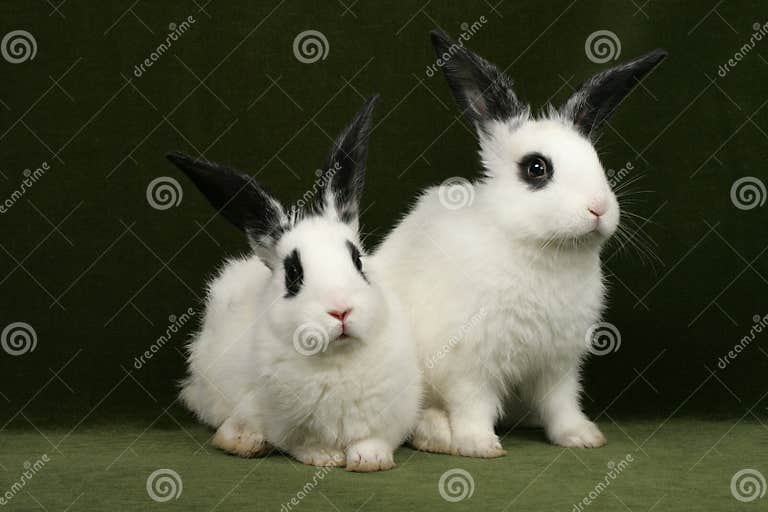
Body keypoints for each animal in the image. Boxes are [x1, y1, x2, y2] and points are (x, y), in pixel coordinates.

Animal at [167, 95, 422, 472]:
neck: (337, 360)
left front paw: (370, 460)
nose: (340, 311)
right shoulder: (288, 426)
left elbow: (372, 440)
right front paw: (325, 457)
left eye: (358, 261)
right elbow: (305, 445)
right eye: (293, 275)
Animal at [372, 30, 667, 457]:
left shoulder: (559, 364)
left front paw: (581, 437)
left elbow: (562, 403)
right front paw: (479, 445)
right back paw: (438, 434)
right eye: (536, 168)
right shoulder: (468, 362)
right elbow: (472, 404)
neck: (539, 248)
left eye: (595, 161)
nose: (598, 208)